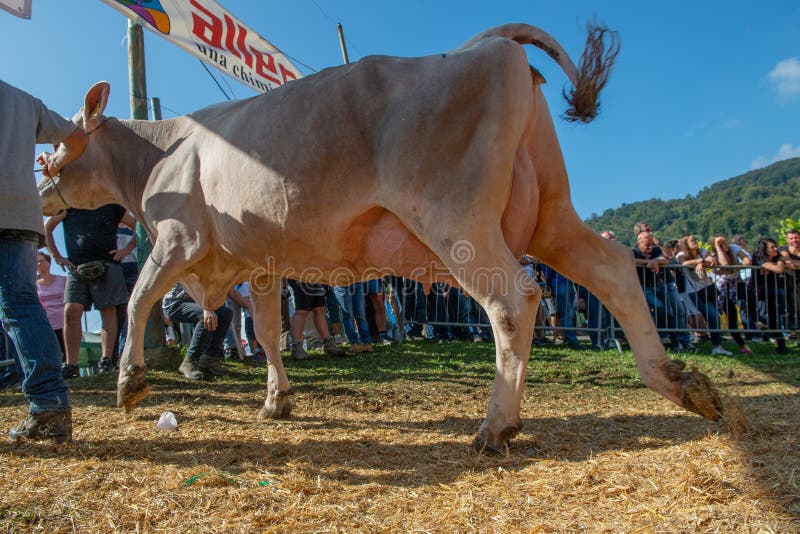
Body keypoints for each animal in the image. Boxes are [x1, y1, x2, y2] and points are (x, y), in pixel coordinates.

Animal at [38, 22, 722, 452]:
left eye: (54, 151)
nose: (38, 191)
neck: (160, 154)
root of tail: (488, 44)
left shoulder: (178, 238)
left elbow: (139, 298)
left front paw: (129, 384)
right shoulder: (259, 263)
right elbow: (268, 331)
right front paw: (277, 401)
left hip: (456, 217)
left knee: (514, 298)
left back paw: (497, 427)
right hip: (548, 212)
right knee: (613, 267)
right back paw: (679, 383)